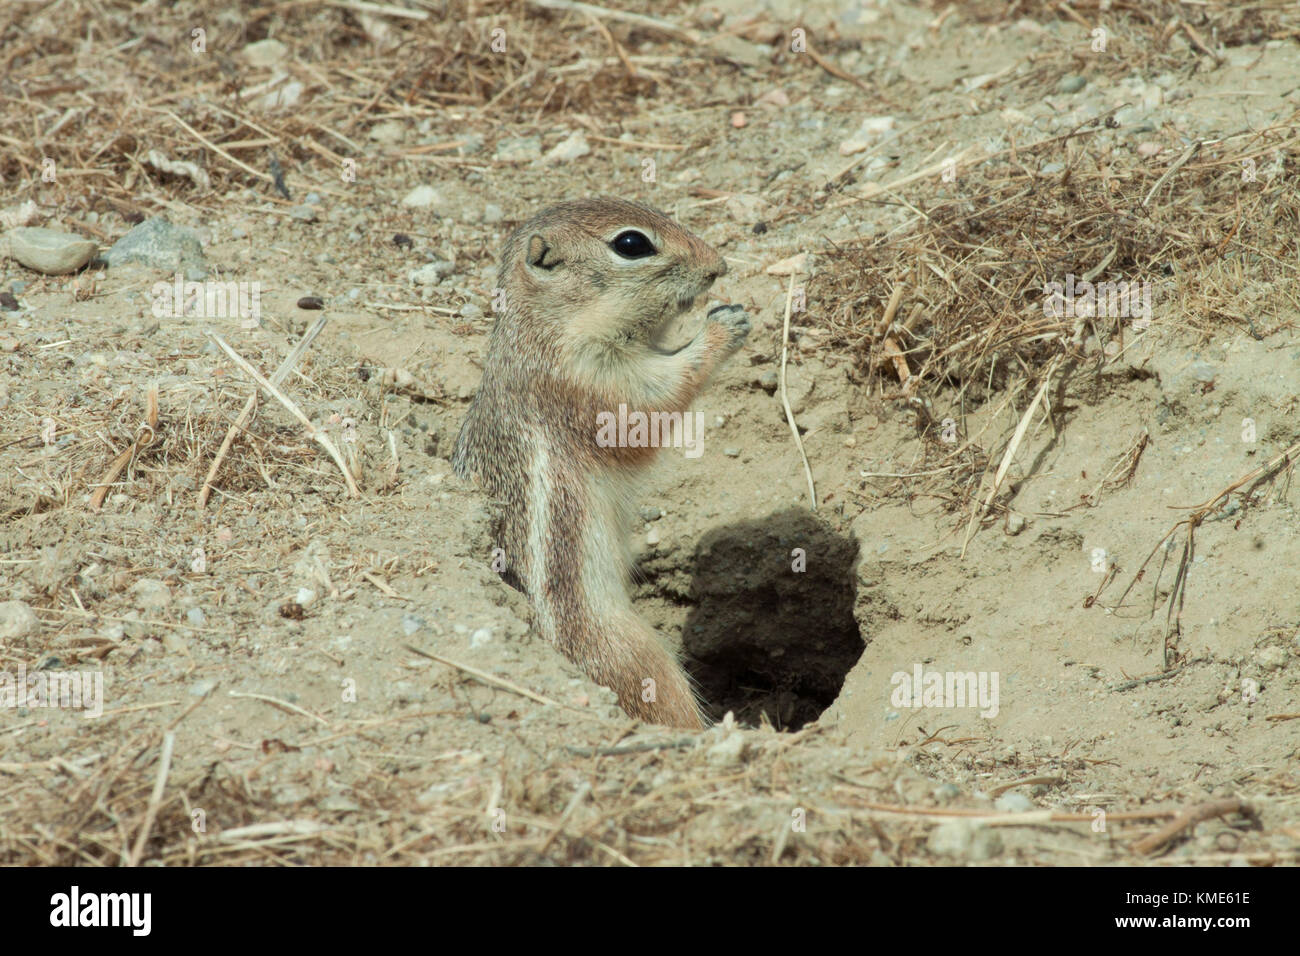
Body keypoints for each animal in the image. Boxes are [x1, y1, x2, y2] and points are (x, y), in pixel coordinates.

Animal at [452, 197, 750, 729]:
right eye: (632, 243)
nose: (718, 267)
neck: (543, 328)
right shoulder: (593, 384)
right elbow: (655, 404)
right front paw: (723, 326)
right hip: (636, 658)